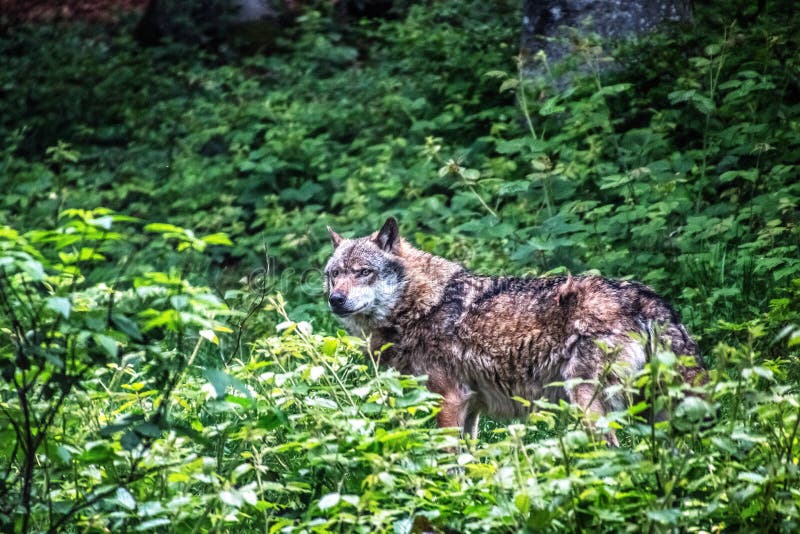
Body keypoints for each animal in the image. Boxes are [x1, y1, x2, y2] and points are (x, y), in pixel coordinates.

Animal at [324, 217, 705, 445]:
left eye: (363, 272)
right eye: (334, 274)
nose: (335, 300)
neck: (421, 304)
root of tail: (648, 298)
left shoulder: (449, 400)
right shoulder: (471, 407)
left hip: (588, 404)